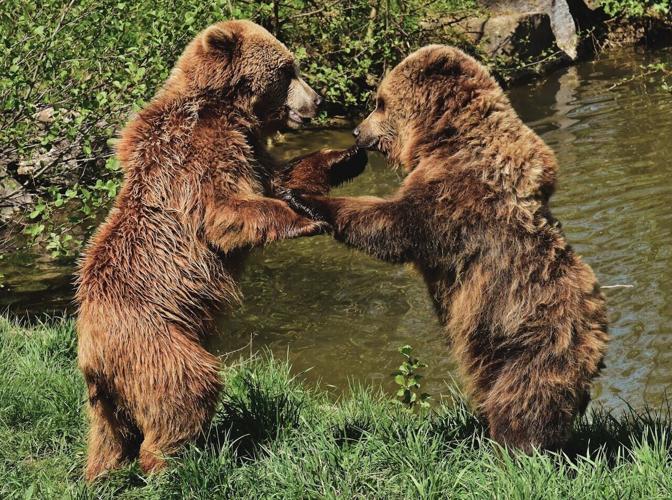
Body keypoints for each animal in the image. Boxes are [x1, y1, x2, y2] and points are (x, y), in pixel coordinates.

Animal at [76, 20, 366, 481]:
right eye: (288, 69)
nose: (318, 99)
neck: (229, 109)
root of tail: (92, 355)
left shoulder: (248, 149)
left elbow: (279, 175)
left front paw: (344, 156)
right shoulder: (201, 153)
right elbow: (226, 212)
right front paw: (307, 216)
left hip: (107, 393)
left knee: (108, 435)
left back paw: (101, 473)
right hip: (156, 341)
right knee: (187, 389)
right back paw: (173, 464)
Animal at [301, 45, 609, 452]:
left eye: (380, 102)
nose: (357, 130)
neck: (442, 137)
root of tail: (597, 338)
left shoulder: (456, 194)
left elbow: (393, 226)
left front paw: (307, 199)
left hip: (530, 339)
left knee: (524, 396)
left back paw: (516, 447)